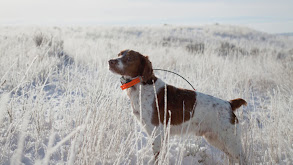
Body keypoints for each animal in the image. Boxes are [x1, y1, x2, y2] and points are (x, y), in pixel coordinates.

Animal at [108, 49, 245, 164]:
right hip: (215, 138)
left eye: (130, 58)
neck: (141, 85)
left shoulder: (157, 133)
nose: (110, 61)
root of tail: (229, 103)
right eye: (119, 54)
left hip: (231, 140)